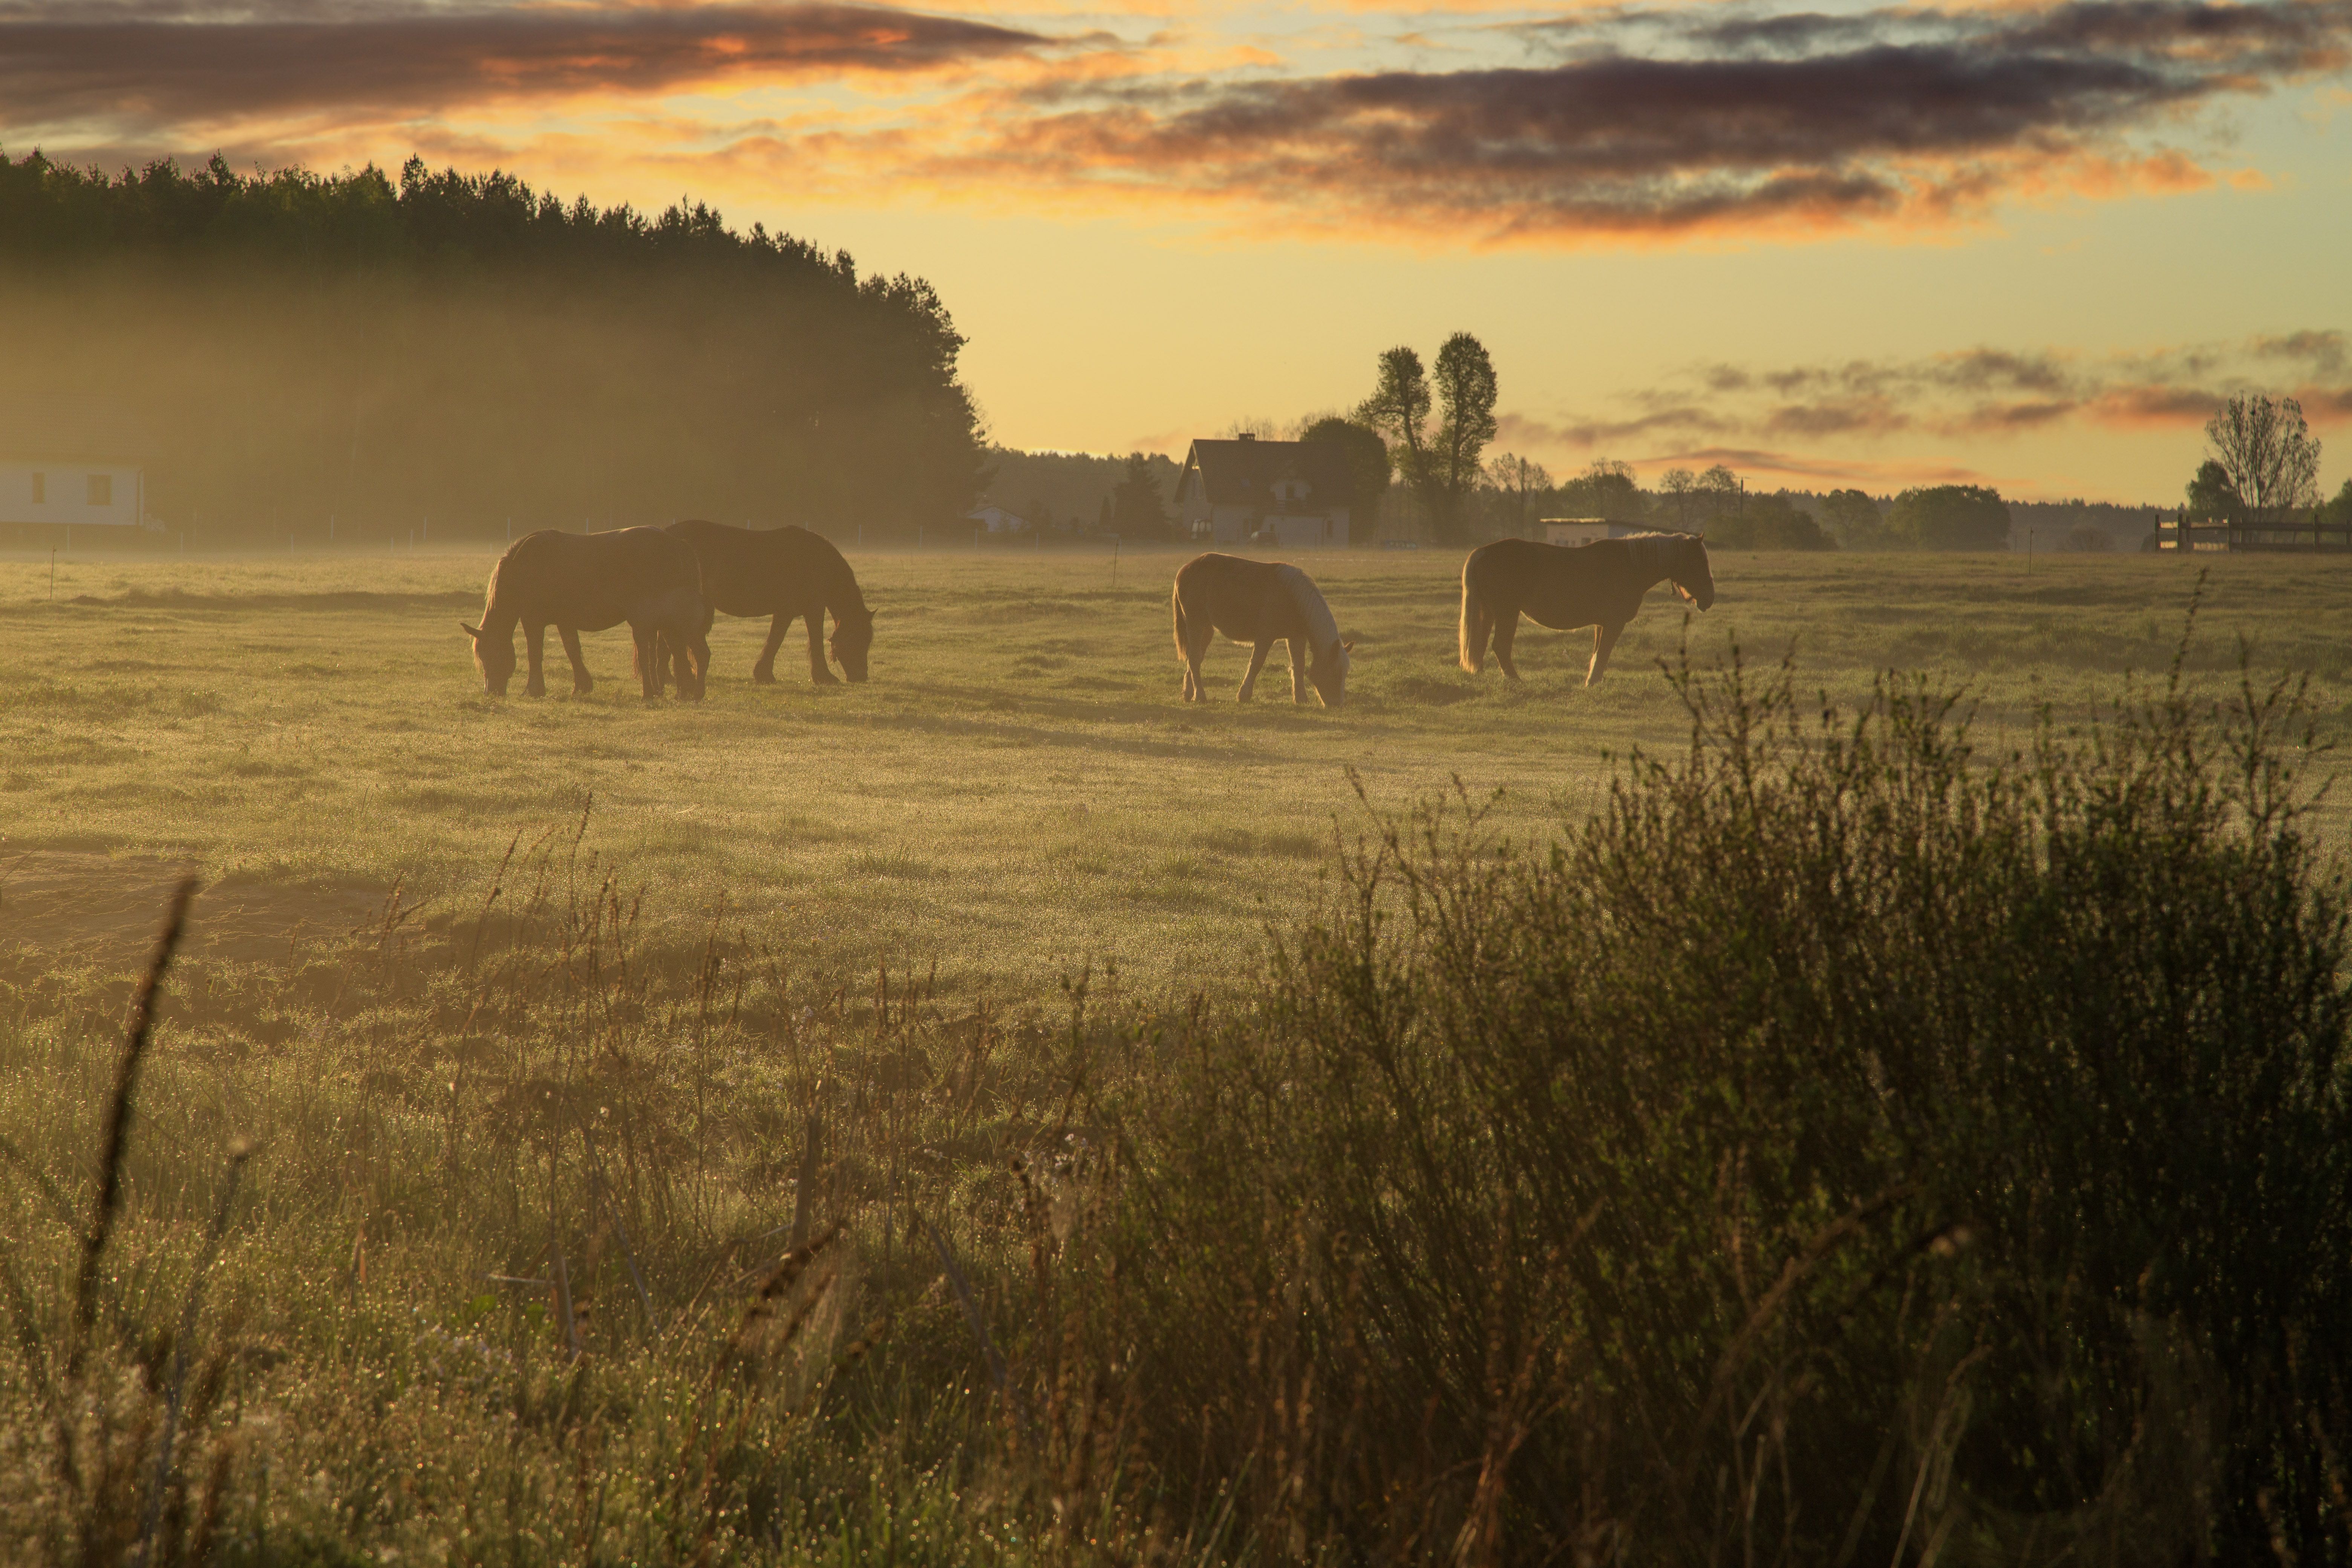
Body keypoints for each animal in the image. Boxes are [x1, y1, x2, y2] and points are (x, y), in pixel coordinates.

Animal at [458, 527, 711, 700]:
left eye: (489, 655)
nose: (491, 693)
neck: (524, 569)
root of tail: (681, 546)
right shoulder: (565, 621)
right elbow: (573, 651)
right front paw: (582, 686)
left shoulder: (534, 621)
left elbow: (535, 653)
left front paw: (534, 690)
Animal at [661, 520, 874, 686]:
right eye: (858, 638)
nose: (862, 677)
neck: (817, 563)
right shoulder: (804, 610)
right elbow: (793, 640)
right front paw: (824, 677)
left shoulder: (790, 611)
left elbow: (778, 640)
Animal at [1172, 553, 1354, 708]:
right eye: (1335, 673)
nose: (1337, 704)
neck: (1294, 597)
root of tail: (1184, 569)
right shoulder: (1265, 636)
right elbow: (1256, 663)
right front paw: (1244, 696)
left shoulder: (1296, 637)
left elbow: (1298, 666)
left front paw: (1300, 699)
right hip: (1195, 624)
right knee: (1194, 659)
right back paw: (1200, 696)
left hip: (1206, 630)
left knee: (1195, 658)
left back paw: (1188, 694)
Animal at [1458, 532, 1714, 687]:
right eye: (1699, 562)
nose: (1710, 598)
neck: (1631, 566)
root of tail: (1482, 552)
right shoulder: (1614, 623)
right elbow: (1603, 654)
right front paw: (1592, 683)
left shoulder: (1602, 624)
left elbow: (1597, 653)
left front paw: (1592, 682)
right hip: (1507, 614)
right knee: (1500, 647)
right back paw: (1516, 681)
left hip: (1489, 613)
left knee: (1480, 646)